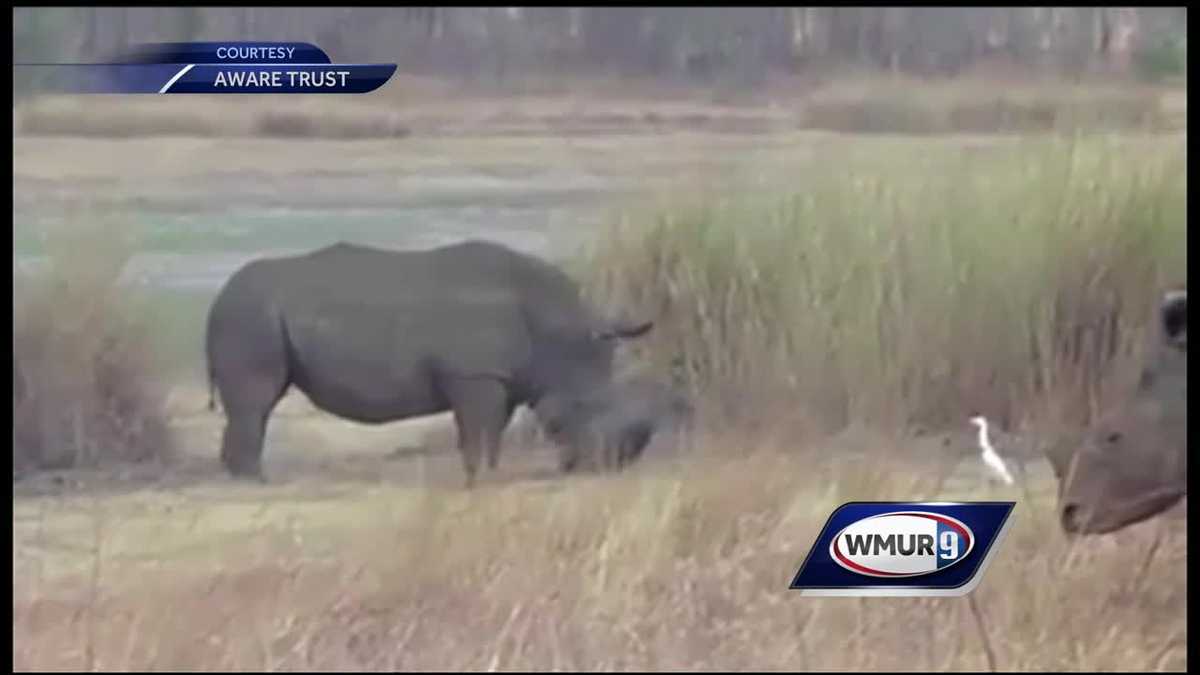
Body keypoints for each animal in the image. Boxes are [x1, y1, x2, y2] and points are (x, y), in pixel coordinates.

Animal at [205, 240, 656, 487]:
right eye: (582, 409)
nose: (611, 466)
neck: (558, 334)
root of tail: (217, 296)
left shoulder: (500, 378)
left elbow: (491, 431)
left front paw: (488, 474)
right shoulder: (474, 375)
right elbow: (477, 430)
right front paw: (478, 479)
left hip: (252, 312)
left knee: (256, 405)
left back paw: (241, 478)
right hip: (249, 313)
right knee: (256, 403)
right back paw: (256, 483)